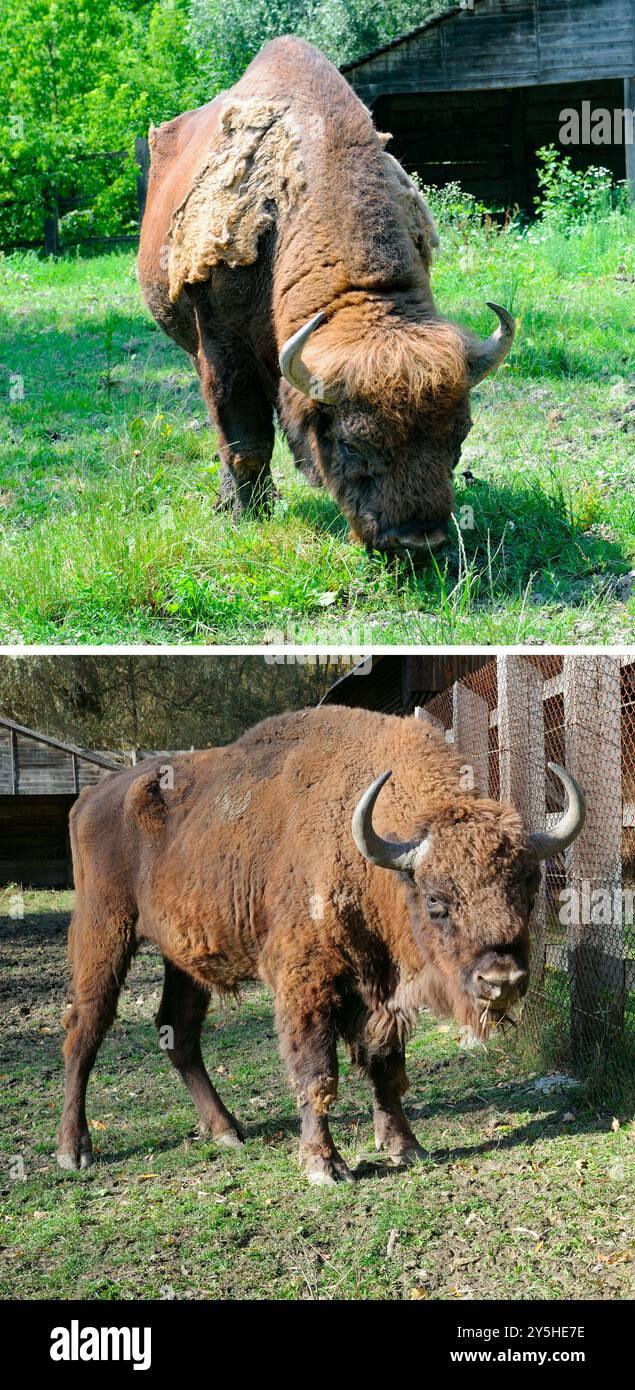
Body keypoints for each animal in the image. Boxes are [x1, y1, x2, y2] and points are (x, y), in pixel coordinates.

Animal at [57, 706, 584, 1185]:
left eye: (529, 885)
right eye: (435, 899)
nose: (501, 981)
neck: (374, 863)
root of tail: (91, 798)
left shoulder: (381, 990)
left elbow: (385, 1066)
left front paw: (406, 1147)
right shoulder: (307, 983)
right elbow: (317, 1071)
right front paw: (324, 1165)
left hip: (183, 958)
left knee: (179, 1031)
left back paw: (227, 1131)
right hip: (103, 931)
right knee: (85, 1029)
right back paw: (74, 1150)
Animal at [137, 36, 515, 560]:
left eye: (460, 436)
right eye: (351, 444)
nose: (418, 540)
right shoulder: (221, 346)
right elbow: (245, 440)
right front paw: (248, 516)